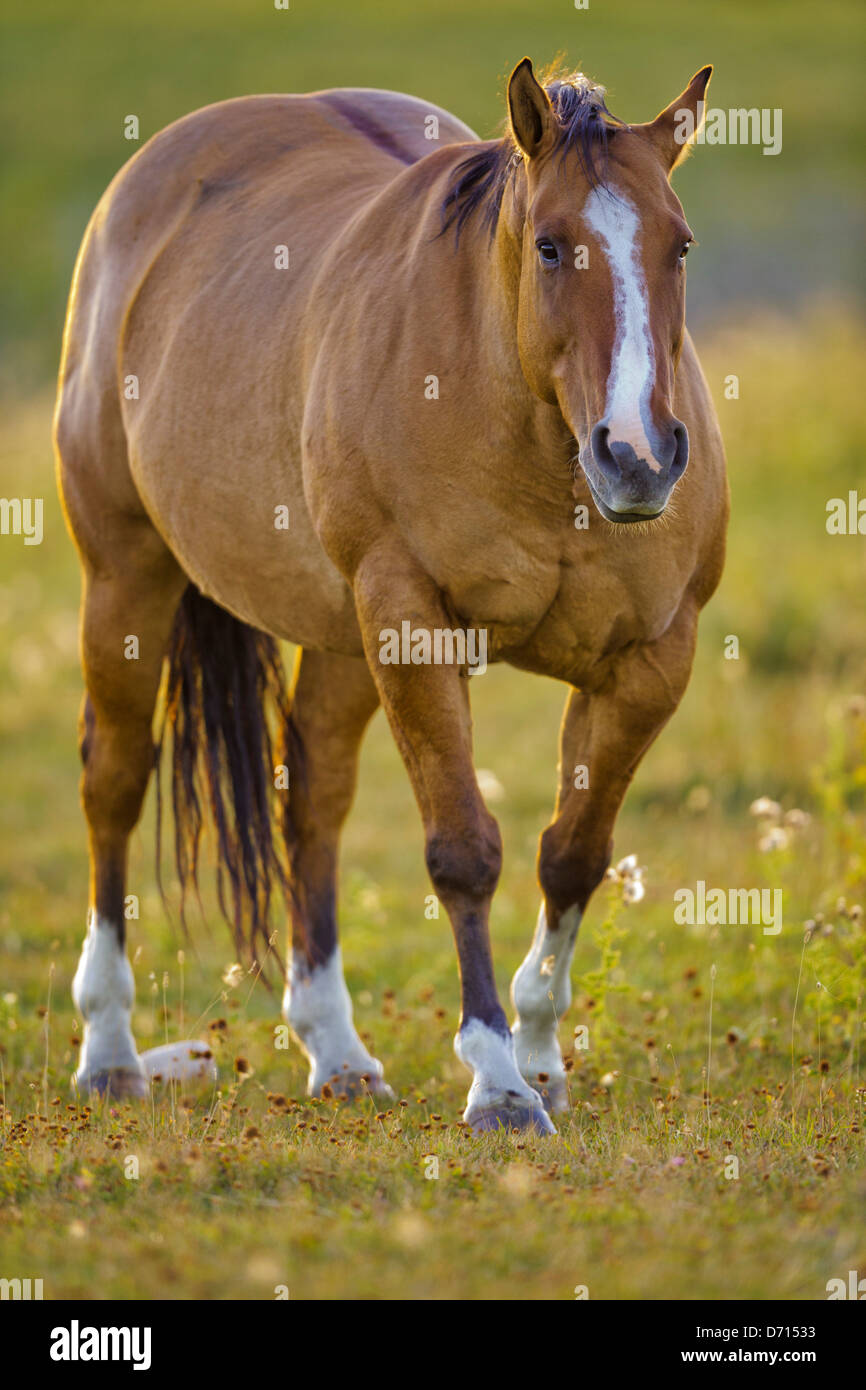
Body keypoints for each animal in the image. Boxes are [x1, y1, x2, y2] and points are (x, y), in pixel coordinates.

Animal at [54, 57, 728, 1134]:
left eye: (680, 244)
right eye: (550, 245)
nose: (637, 455)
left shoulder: (649, 662)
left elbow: (572, 853)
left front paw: (541, 1056)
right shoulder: (415, 627)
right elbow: (464, 851)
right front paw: (498, 1082)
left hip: (341, 637)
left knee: (311, 800)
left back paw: (336, 1051)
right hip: (126, 576)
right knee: (114, 780)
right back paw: (110, 1048)